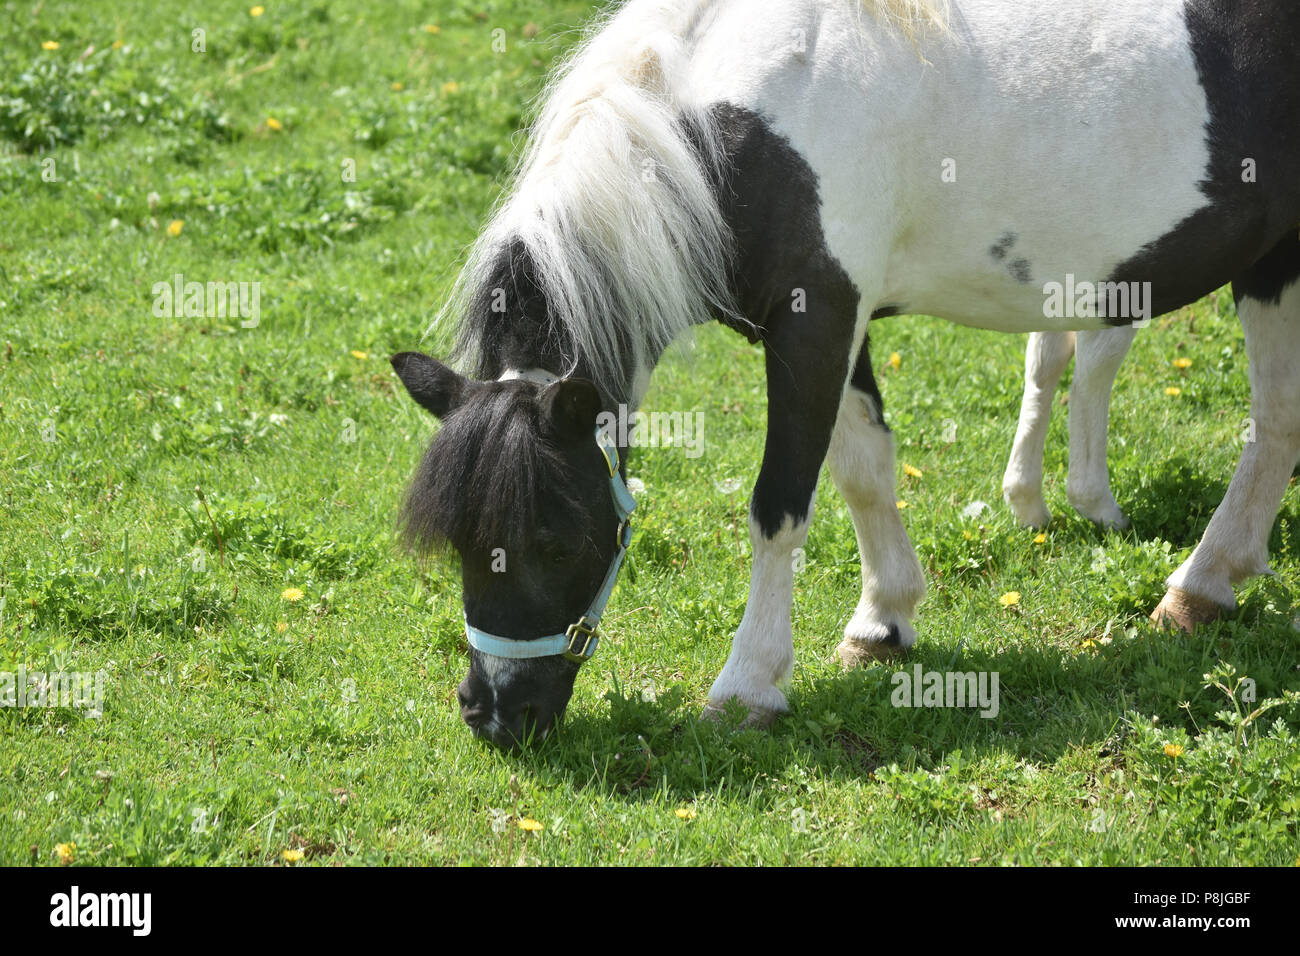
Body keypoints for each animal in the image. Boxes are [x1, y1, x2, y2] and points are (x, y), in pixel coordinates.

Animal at [391, 0, 1300, 747]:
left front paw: (749, 683)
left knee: (1273, 424)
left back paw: (1200, 584)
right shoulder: (843, 327)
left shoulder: (814, 324)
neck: (742, 129)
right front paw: (882, 622)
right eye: (460, 541)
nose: (492, 715)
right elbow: (864, 472)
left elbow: (779, 506)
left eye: (555, 538)